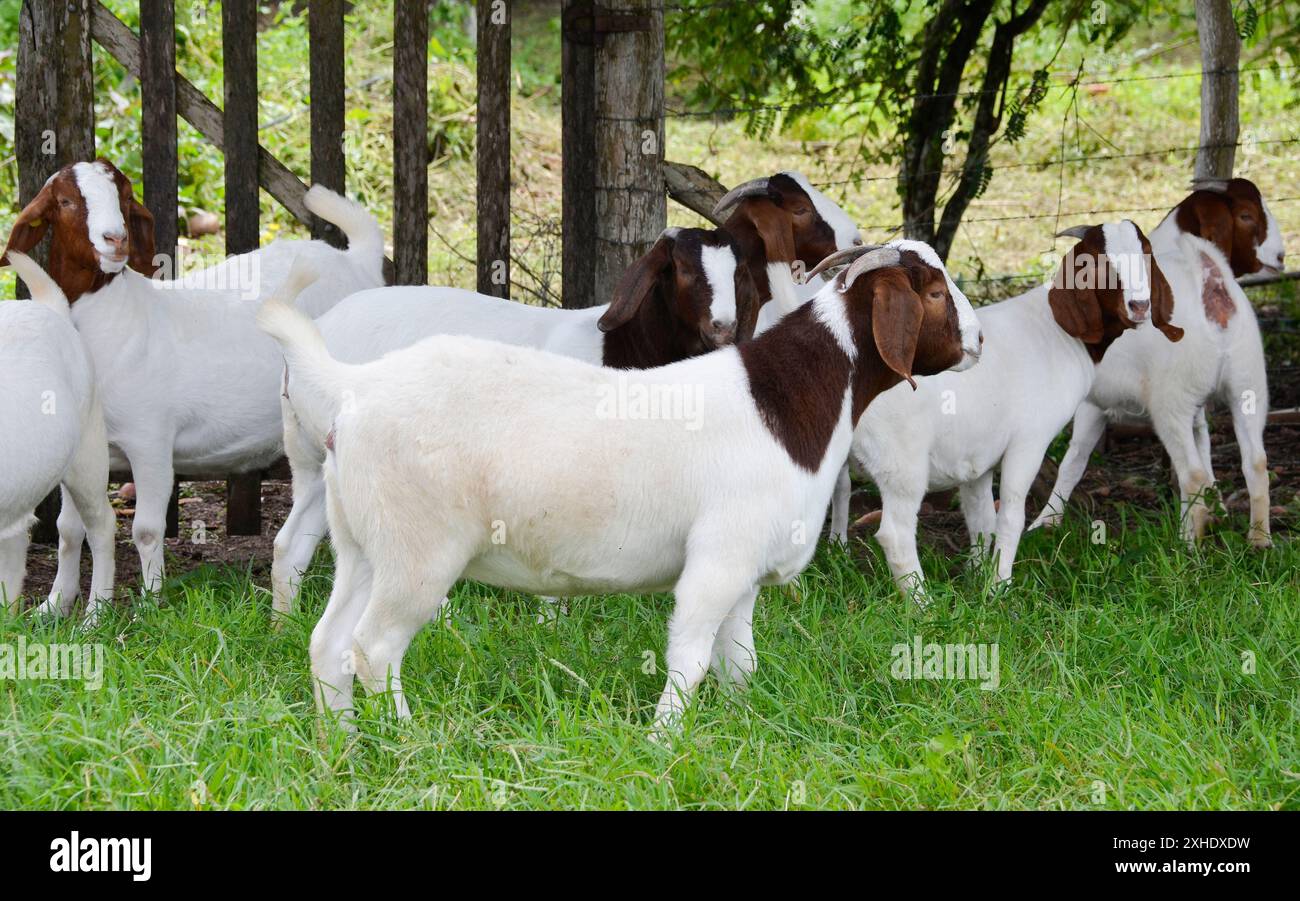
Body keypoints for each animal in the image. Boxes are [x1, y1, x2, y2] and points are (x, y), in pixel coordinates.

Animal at [0, 252, 114, 620]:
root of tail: (49, 307)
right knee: (62, 529)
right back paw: (54, 605)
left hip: (89, 450)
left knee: (101, 525)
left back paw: (95, 616)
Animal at [256, 244, 982, 732]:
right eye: (934, 293)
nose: (978, 340)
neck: (793, 399)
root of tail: (356, 386)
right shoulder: (717, 562)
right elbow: (689, 658)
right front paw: (664, 742)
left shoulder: (745, 567)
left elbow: (738, 662)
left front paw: (743, 726)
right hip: (418, 552)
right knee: (373, 649)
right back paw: (412, 740)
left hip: (363, 544)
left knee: (328, 643)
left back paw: (342, 742)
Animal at [267, 171, 862, 619]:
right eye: (682, 270)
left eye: (737, 271)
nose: (722, 326)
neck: (619, 349)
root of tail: (315, 337)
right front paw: (554, 621)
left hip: (317, 459)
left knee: (292, 542)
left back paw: (283, 624)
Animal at [841, 222, 1181, 596]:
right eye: (1098, 264)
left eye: (1146, 253)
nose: (1140, 306)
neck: (1056, 331)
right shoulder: (1028, 442)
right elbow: (1010, 516)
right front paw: (997, 587)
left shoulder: (978, 456)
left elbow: (981, 519)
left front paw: (976, 576)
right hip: (902, 462)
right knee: (894, 533)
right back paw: (921, 602)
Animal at [1030, 179, 1283, 546]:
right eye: (1247, 215)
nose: (1281, 257)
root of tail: (1210, 283)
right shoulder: (1196, 406)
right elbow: (1205, 446)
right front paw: (1219, 511)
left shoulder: (1093, 403)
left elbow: (1073, 460)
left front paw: (1045, 522)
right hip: (1247, 383)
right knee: (1256, 463)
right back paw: (1259, 539)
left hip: (1171, 400)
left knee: (1191, 472)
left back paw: (1187, 542)